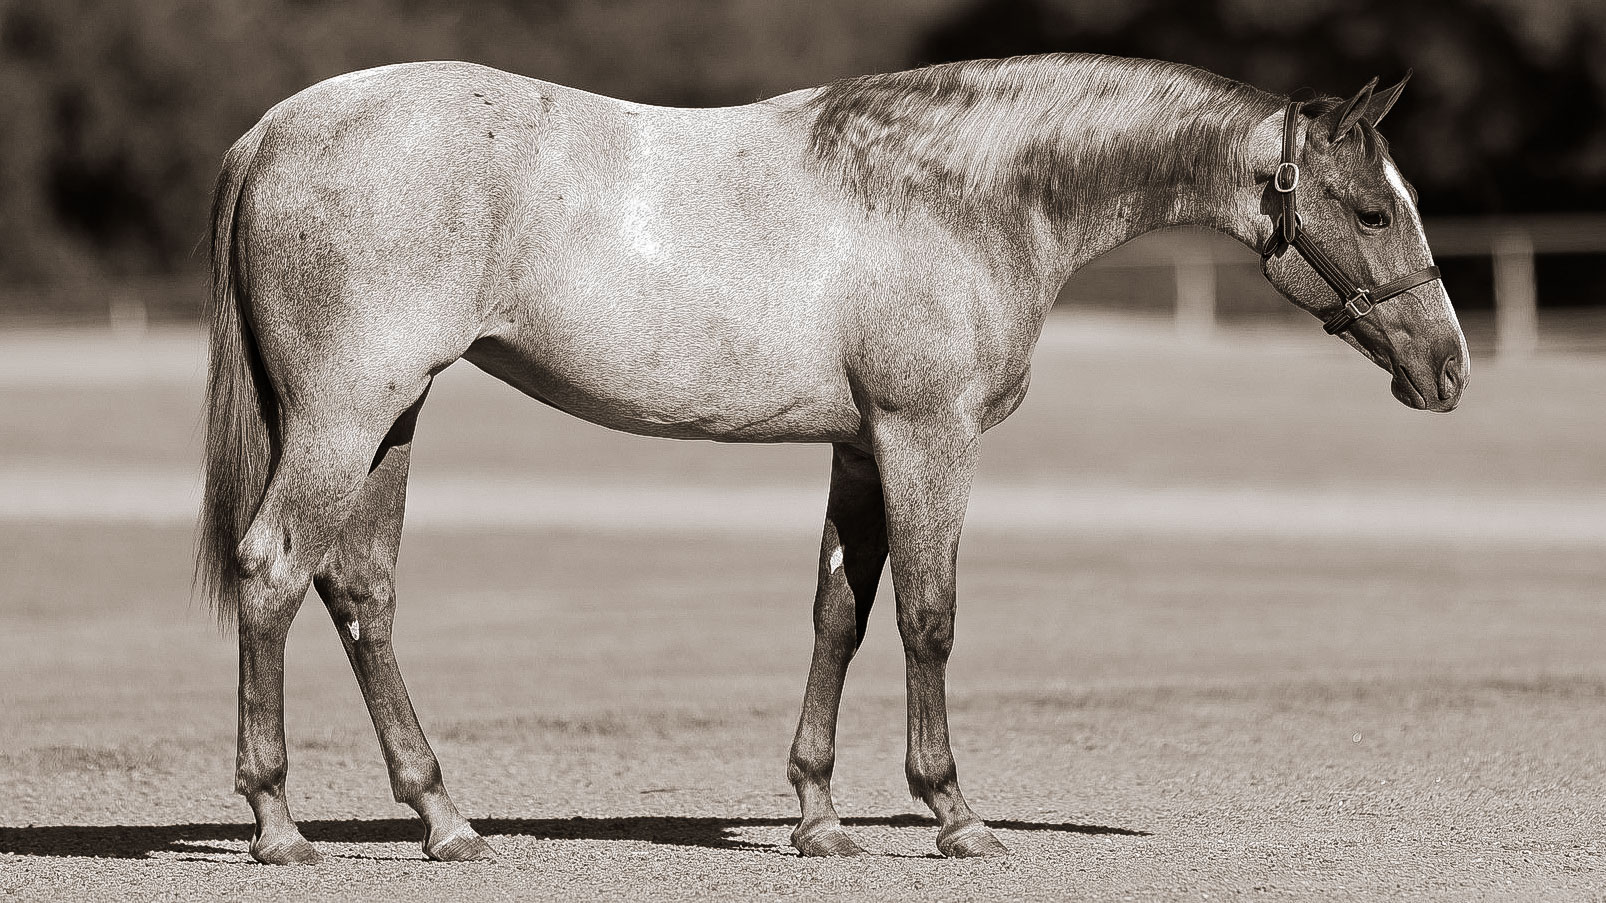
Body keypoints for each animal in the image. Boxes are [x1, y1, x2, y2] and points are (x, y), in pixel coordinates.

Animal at [197, 52, 1467, 864]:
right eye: (1369, 212)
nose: (1447, 369)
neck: (959, 189)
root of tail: (273, 131)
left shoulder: (860, 450)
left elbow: (838, 615)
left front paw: (817, 818)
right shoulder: (925, 437)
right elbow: (927, 620)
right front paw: (954, 816)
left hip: (392, 418)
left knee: (362, 592)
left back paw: (446, 823)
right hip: (345, 414)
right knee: (274, 570)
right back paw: (279, 827)